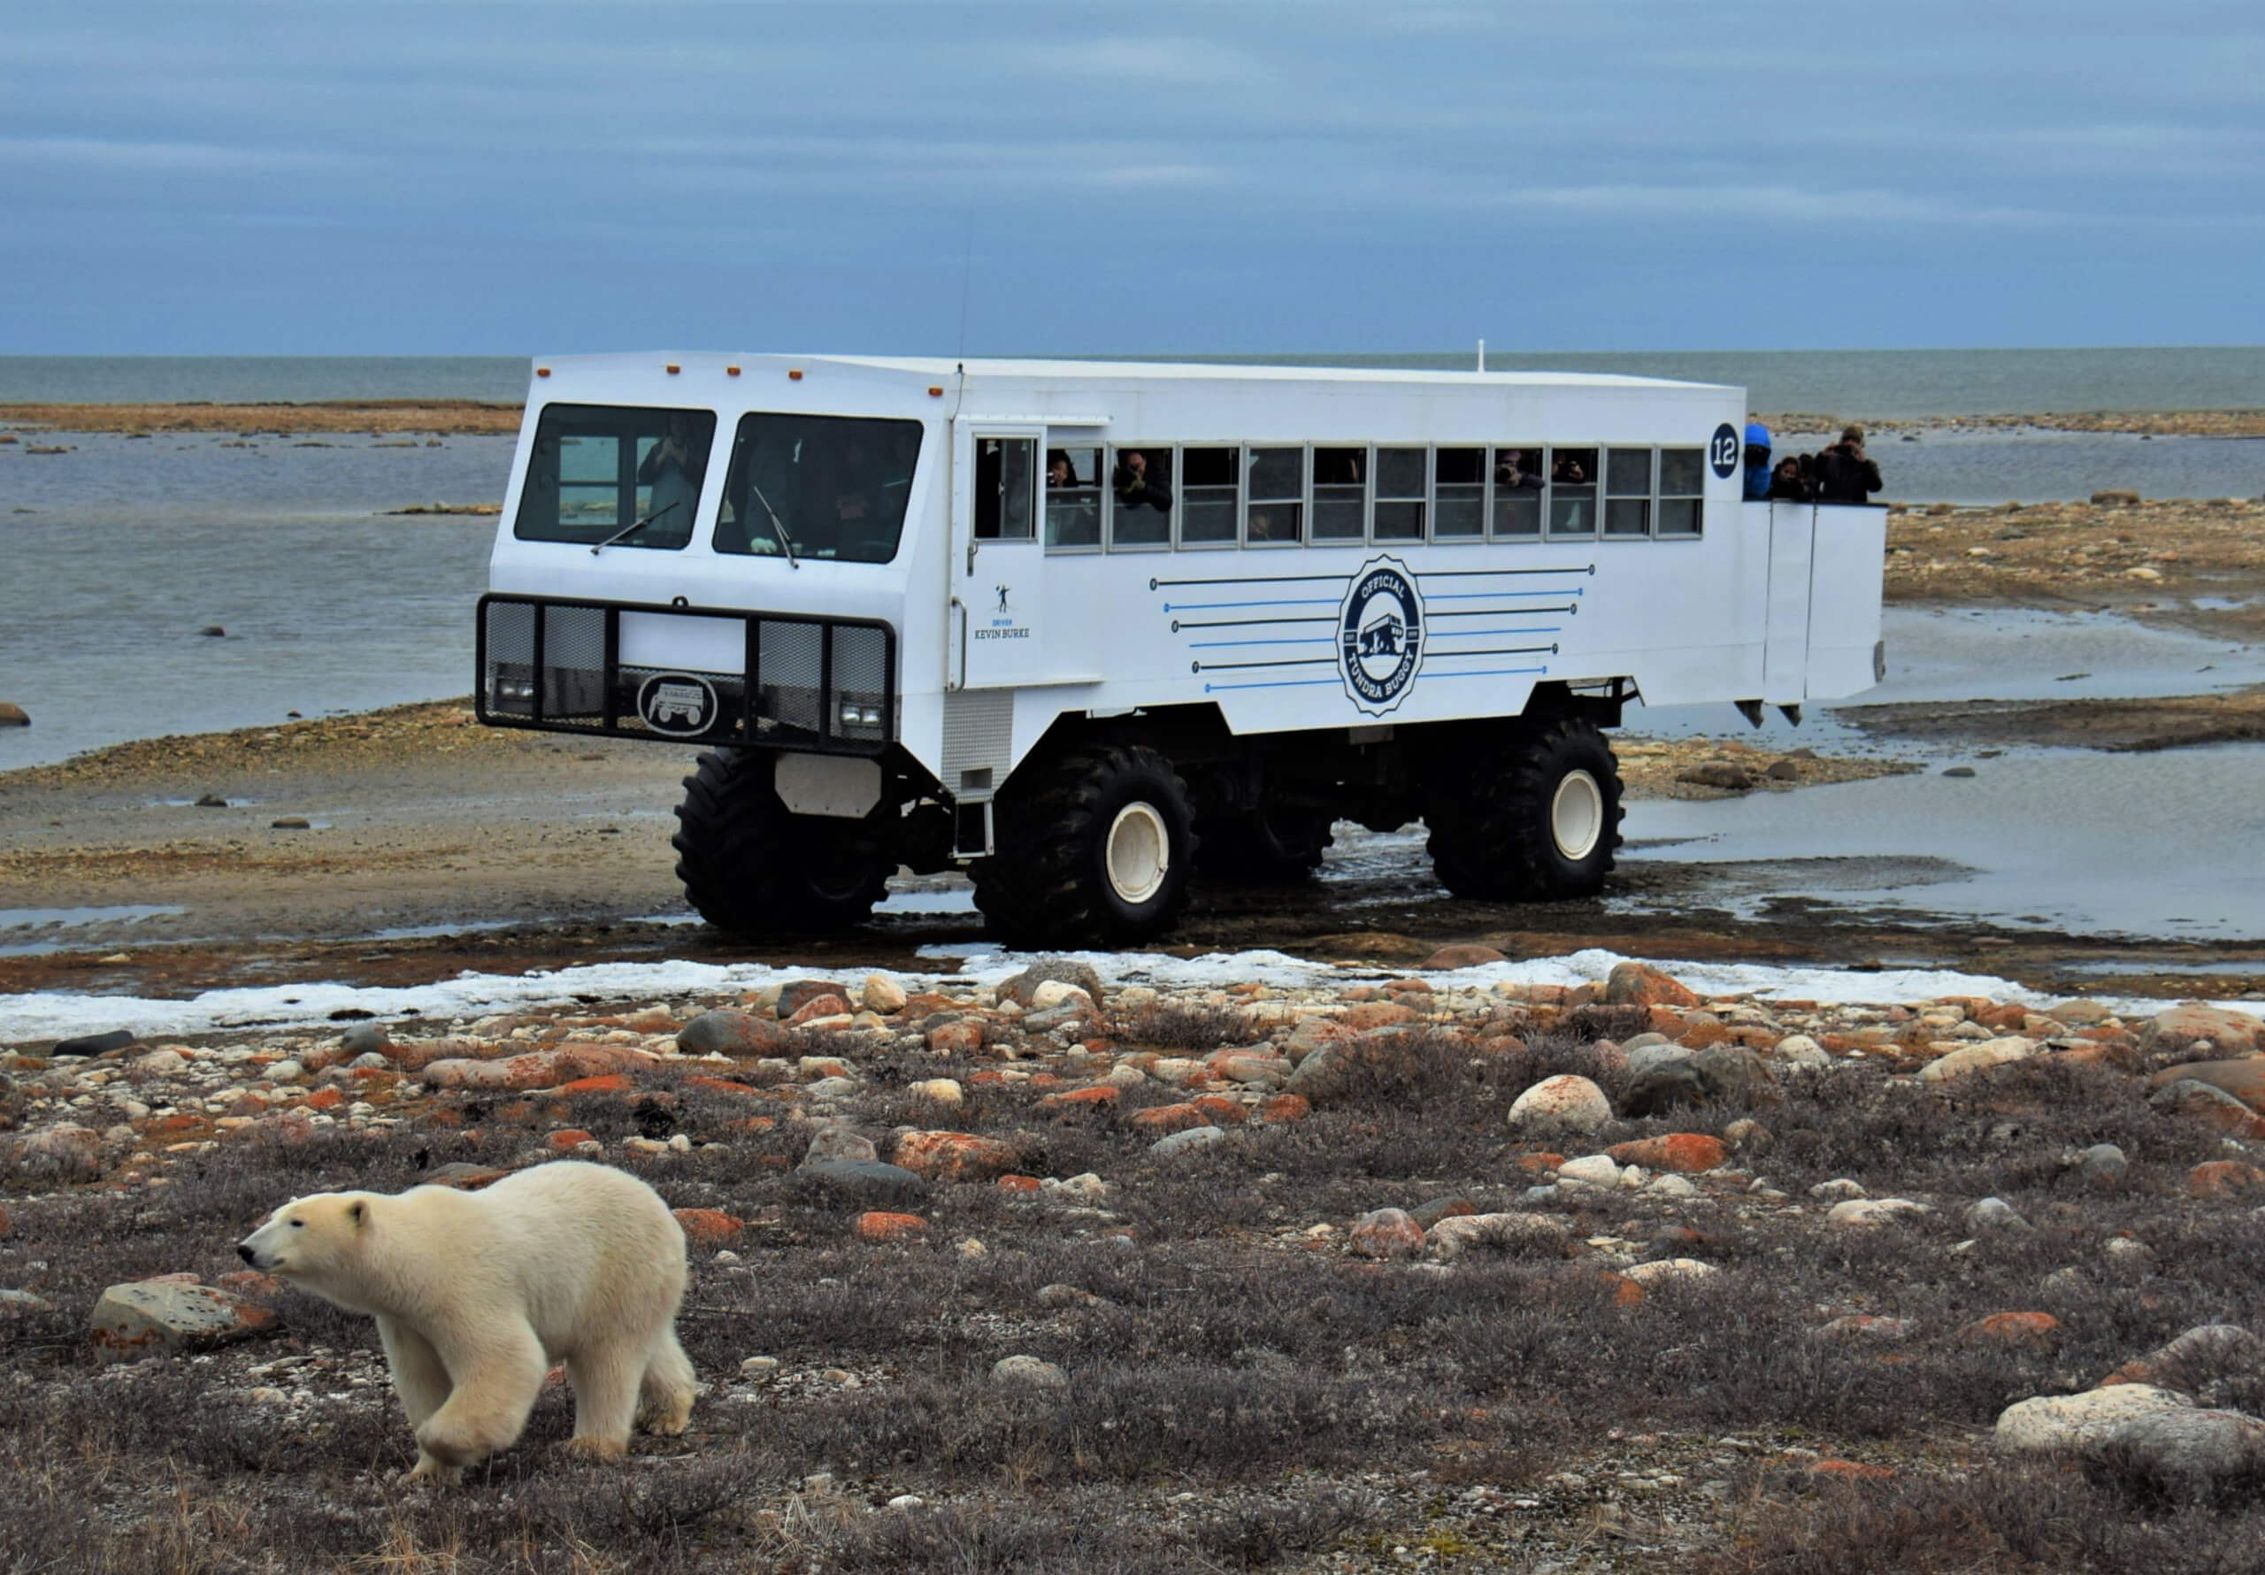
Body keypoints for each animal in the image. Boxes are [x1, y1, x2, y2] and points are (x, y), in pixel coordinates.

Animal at [238, 1161, 695, 1482]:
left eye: (297, 1222)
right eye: (276, 1215)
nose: (245, 1248)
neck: (416, 1253)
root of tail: (662, 1208)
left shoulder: (463, 1288)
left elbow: (506, 1358)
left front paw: (448, 1446)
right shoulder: (405, 1318)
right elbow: (422, 1380)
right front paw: (426, 1474)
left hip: (615, 1271)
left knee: (608, 1360)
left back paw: (592, 1445)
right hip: (641, 1287)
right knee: (652, 1345)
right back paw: (665, 1415)